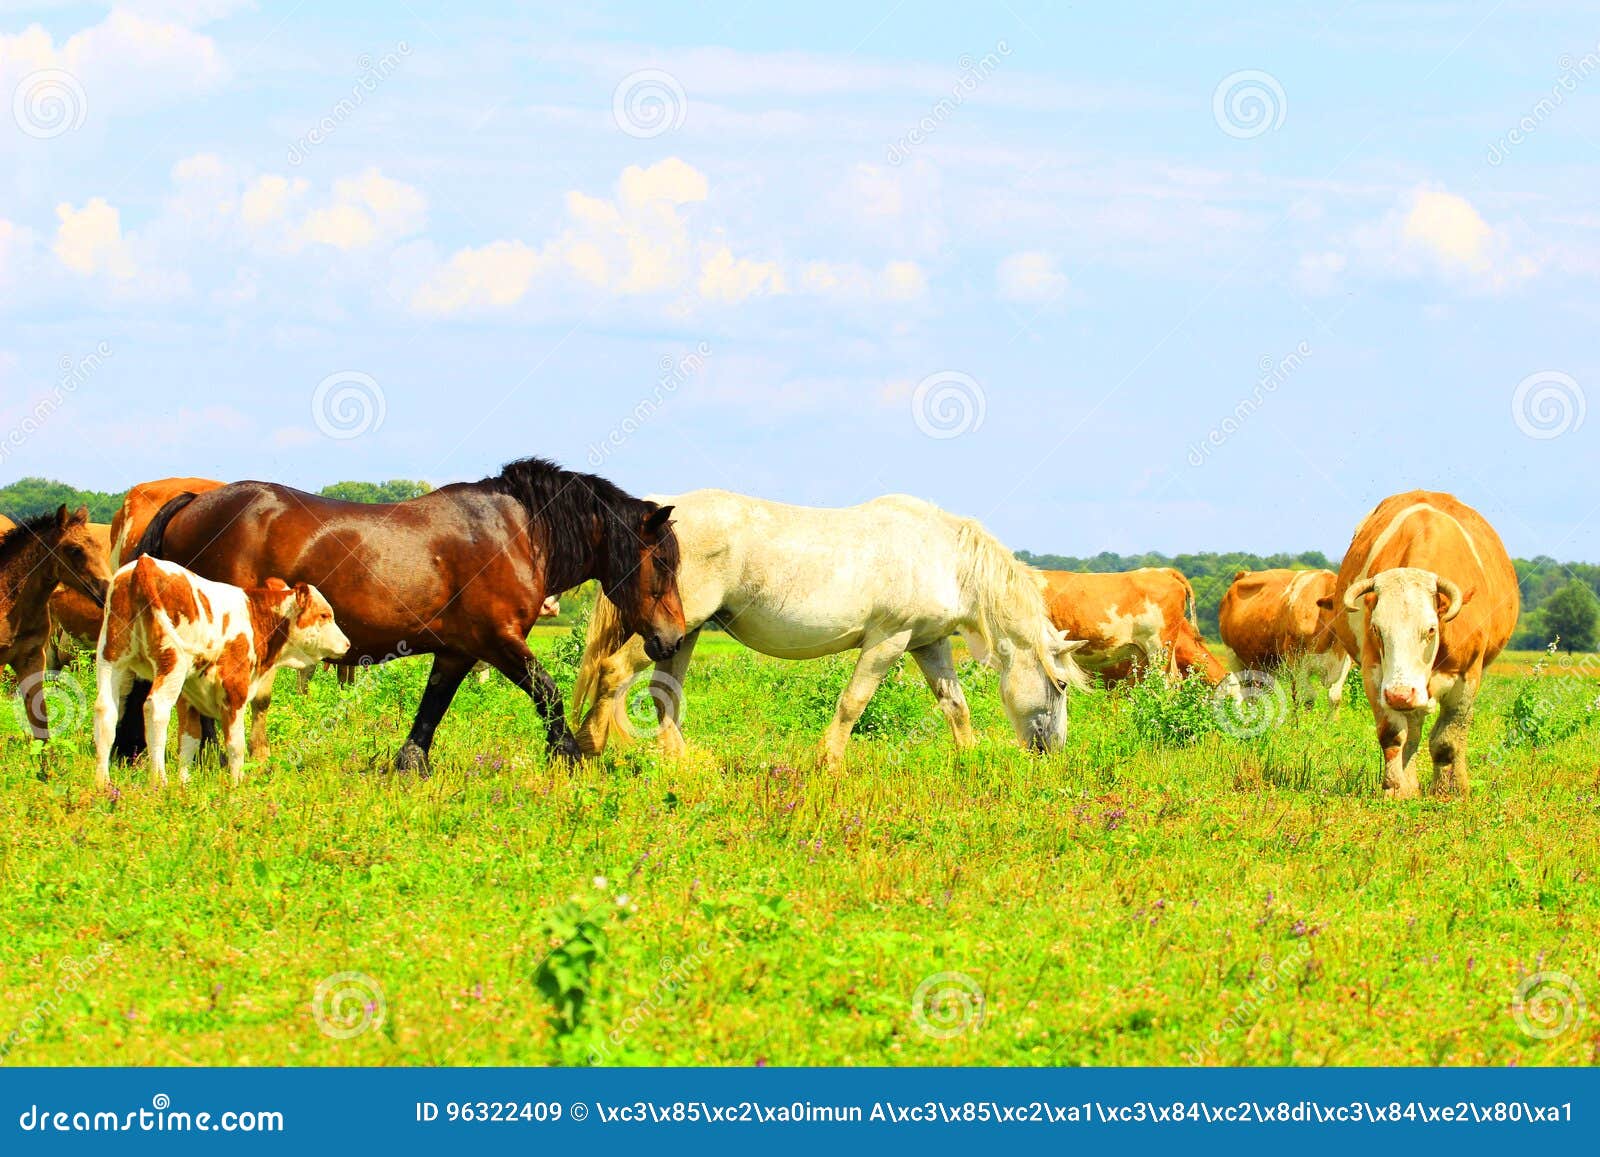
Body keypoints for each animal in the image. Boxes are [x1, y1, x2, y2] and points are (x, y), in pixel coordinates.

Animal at [93, 557, 350, 787]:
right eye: (324, 615)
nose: (347, 644)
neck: (255, 618)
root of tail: (145, 563)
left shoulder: (188, 698)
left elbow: (189, 740)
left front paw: (184, 783)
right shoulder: (234, 691)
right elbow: (236, 743)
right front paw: (237, 784)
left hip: (111, 657)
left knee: (106, 710)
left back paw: (103, 783)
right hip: (171, 662)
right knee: (156, 709)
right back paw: (159, 782)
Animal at [123, 457, 685, 771]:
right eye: (661, 562)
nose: (674, 637)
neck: (519, 532)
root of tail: (191, 503)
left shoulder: (459, 650)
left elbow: (432, 706)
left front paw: (410, 763)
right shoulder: (499, 640)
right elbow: (547, 692)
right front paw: (568, 755)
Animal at [572, 489, 1090, 765]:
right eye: (1062, 684)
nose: (1053, 751)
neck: (945, 557)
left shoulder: (929, 644)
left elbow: (955, 707)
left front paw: (969, 759)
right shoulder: (889, 640)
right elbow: (853, 703)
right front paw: (829, 762)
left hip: (681, 634)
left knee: (664, 695)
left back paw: (686, 764)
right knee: (615, 670)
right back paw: (590, 748)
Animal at [1219, 568, 1353, 708]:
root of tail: (1244, 574)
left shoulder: (1345, 662)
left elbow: (1334, 698)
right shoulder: (1296, 662)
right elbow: (1308, 698)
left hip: (1266, 666)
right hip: (1234, 658)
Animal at [1327, 491, 1518, 799]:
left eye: (1430, 629)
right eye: (1377, 629)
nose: (1400, 695)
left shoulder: (1466, 676)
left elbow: (1448, 738)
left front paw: (1448, 790)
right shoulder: (1375, 675)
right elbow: (1393, 735)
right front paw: (1397, 788)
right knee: (1413, 729)